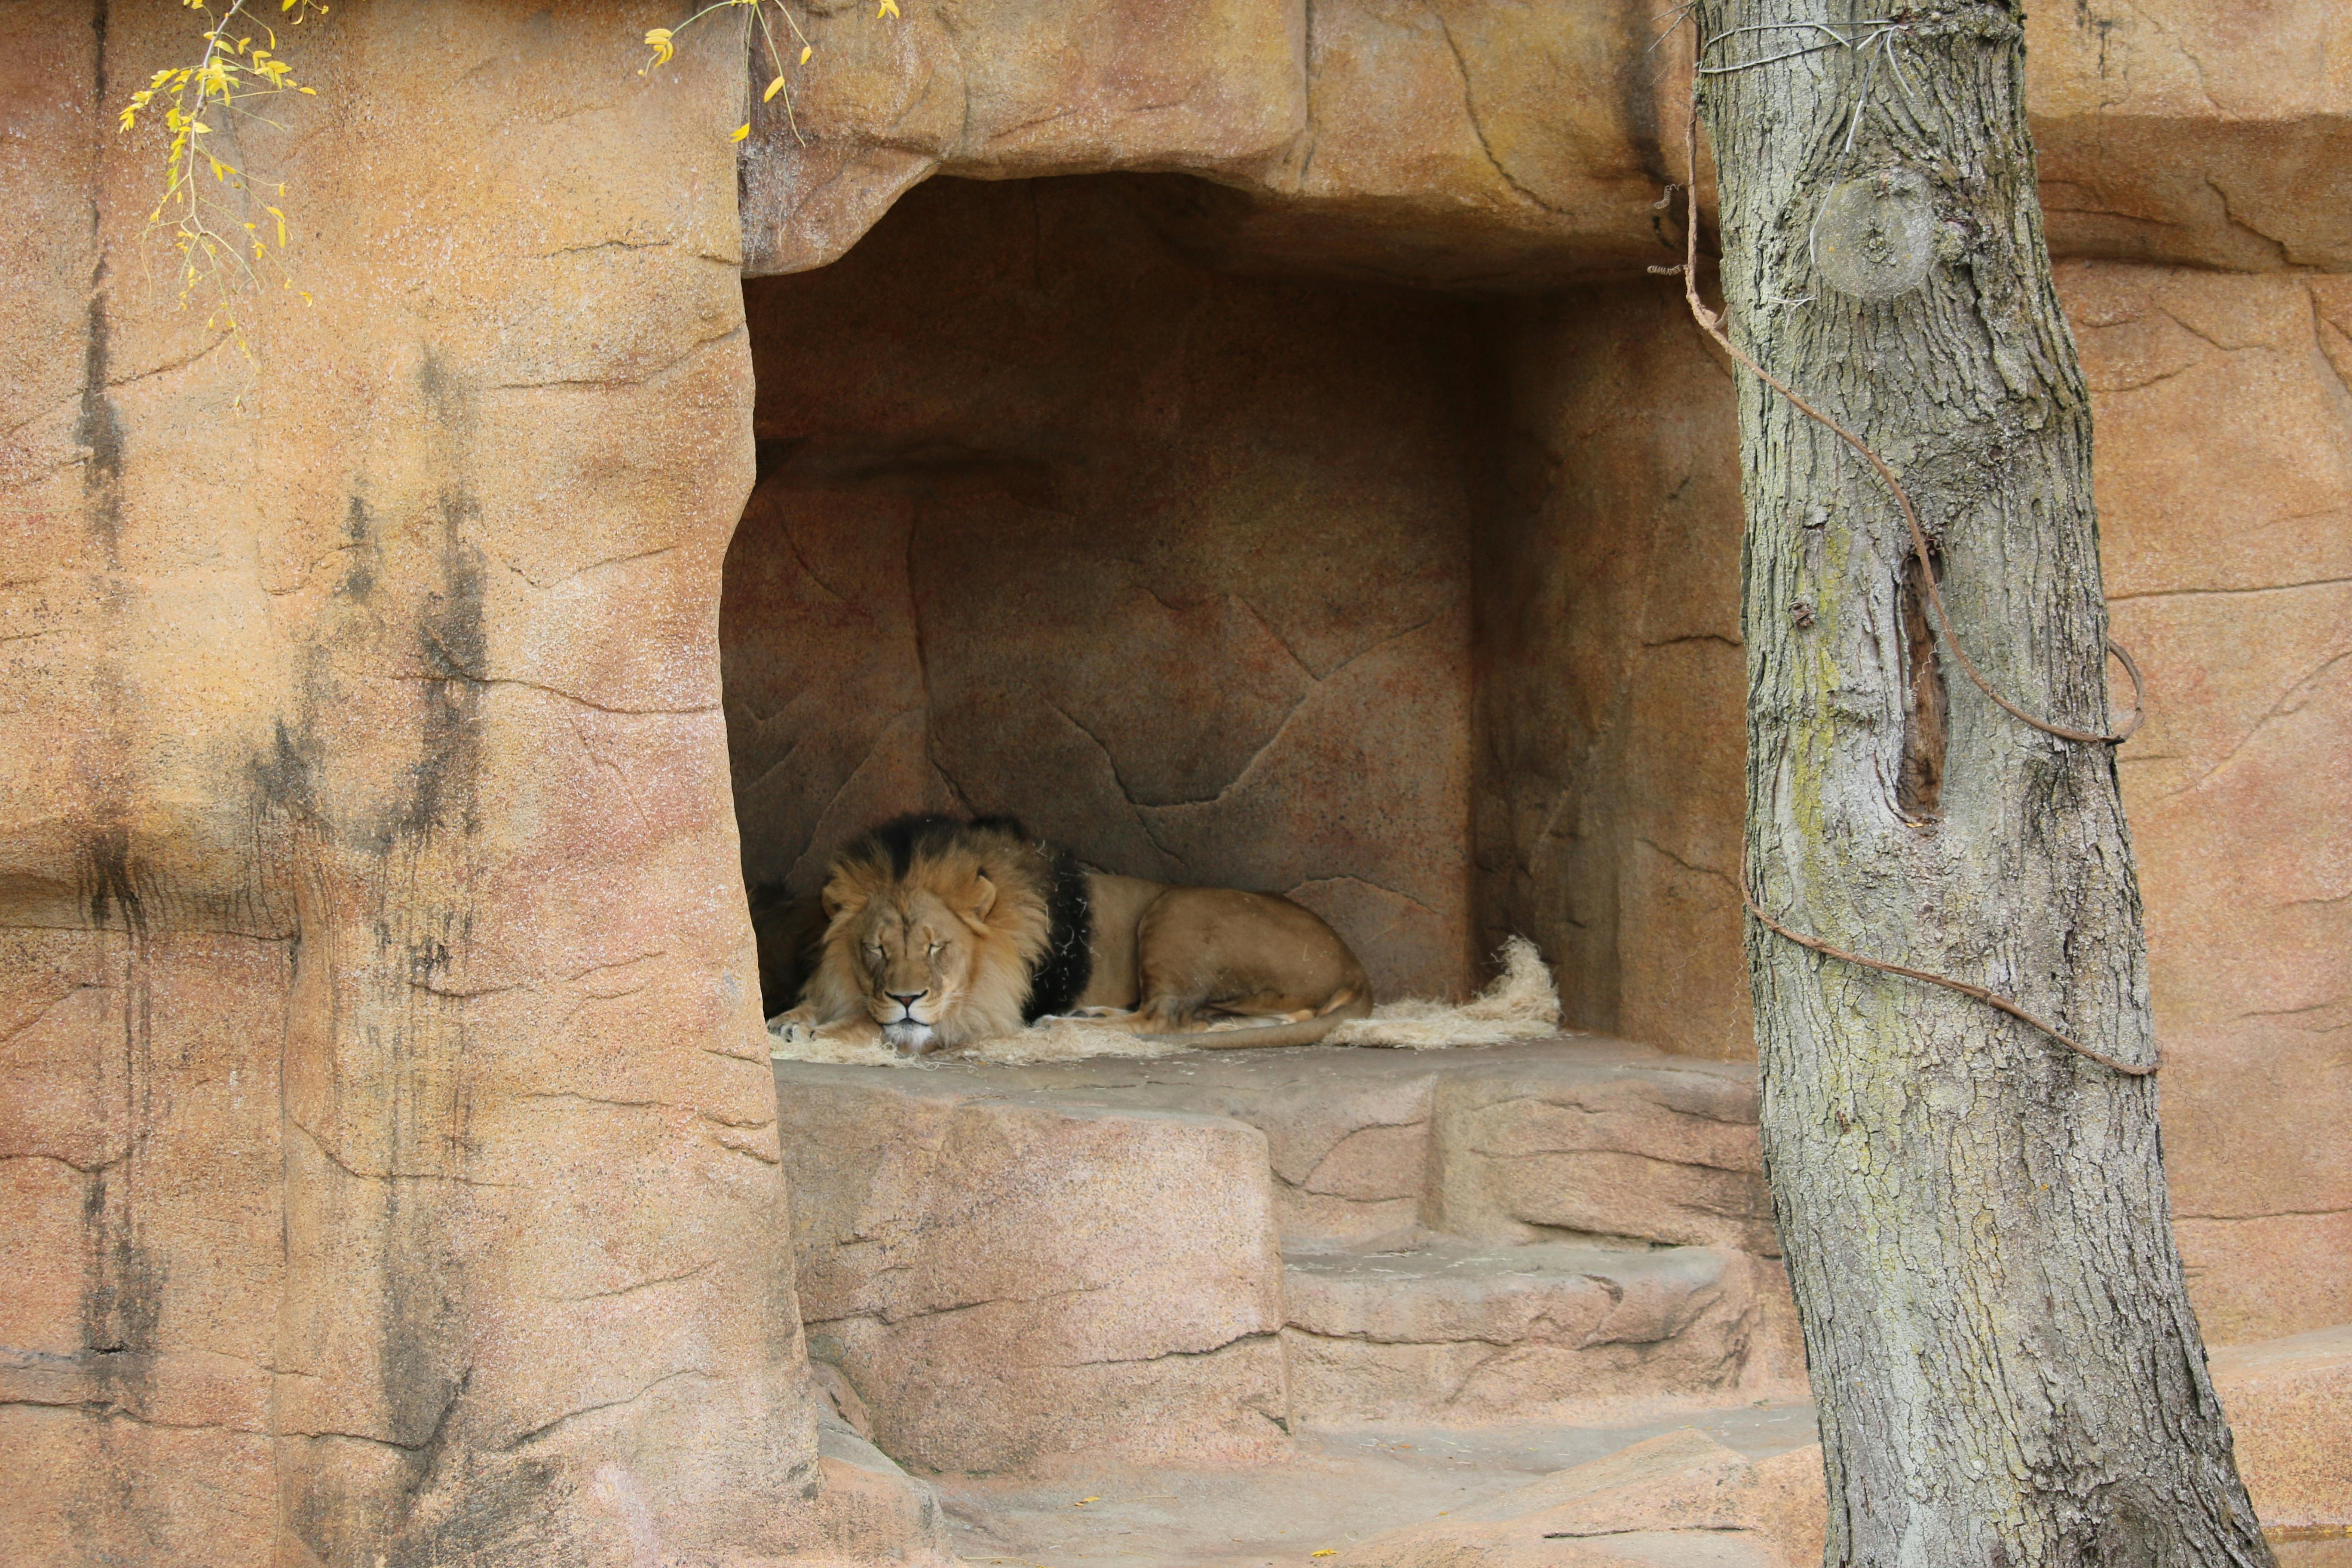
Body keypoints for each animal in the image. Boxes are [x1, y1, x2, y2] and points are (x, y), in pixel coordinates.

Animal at [763, 814, 1372, 1055]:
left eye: (938, 947)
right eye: (876, 949)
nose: (907, 996)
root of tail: (1355, 963)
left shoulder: (984, 1011)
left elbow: (885, 1025)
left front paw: (824, 1030)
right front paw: (789, 1018)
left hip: (1175, 907)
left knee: (1166, 1021)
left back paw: (1069, 1023)